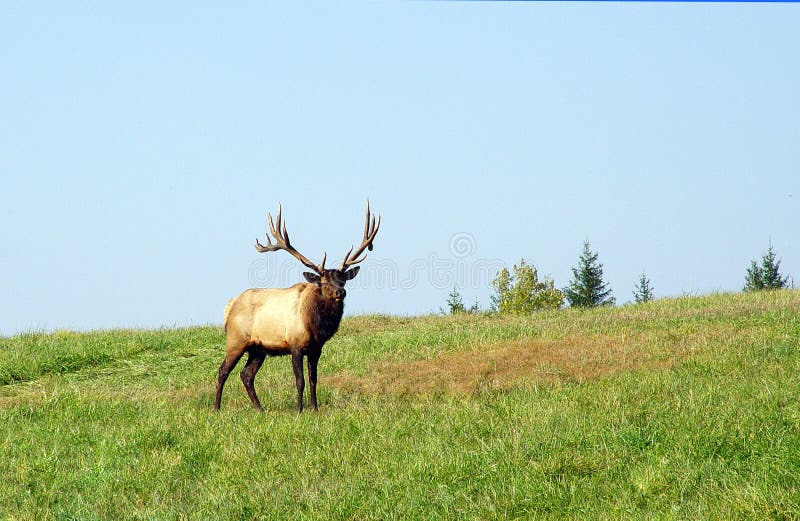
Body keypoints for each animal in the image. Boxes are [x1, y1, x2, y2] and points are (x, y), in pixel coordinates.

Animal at [214, 201, 380, 413]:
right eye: (323, 282)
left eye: (342, 280)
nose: (340, 292)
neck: (316, 326)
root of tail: (230, 306)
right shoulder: (295, 344)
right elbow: (299, 380)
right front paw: (299, 410)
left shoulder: (316, 349)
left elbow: (313, 379)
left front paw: (315, 408)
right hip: (236, 339)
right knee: (223, 370)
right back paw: (216, 408)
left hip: (258, 349)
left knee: (246, 374)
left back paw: (259, 409)